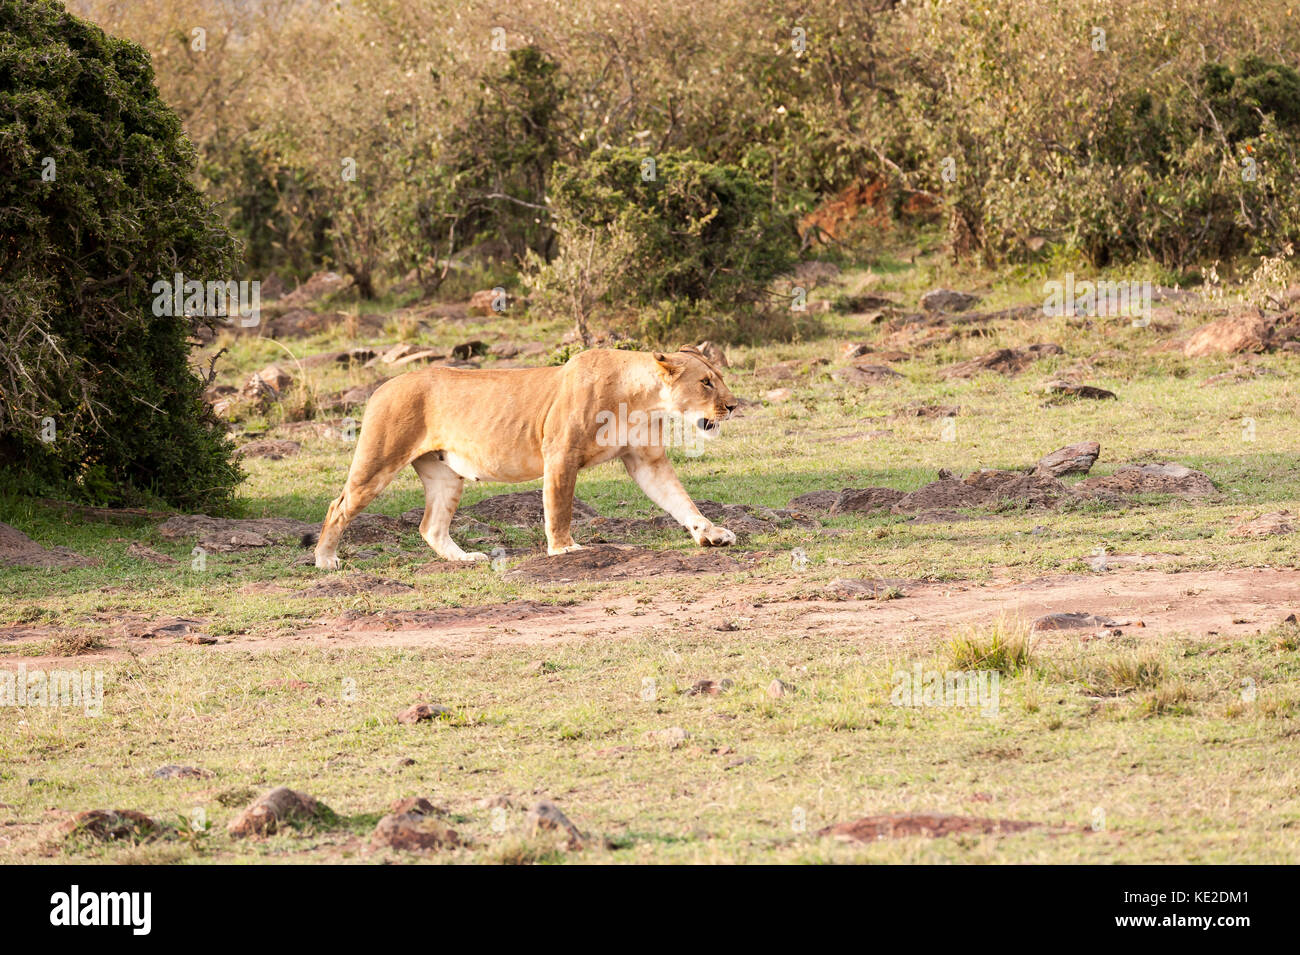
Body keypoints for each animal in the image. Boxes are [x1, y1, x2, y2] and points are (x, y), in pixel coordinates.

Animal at [308, 346, 740, 570]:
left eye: (719, 378)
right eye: (706, 382)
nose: (734, 406)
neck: (643, 399)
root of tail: (383, 385)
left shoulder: (646, 461)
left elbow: (681, 501)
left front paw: (711, 533)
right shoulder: (560, 453)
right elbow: (559, 507)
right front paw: (564, 549)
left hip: (445, 475)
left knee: (430, 526)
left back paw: (466, 558)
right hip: (379, 460)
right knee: (338, 505)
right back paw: (326, 560)